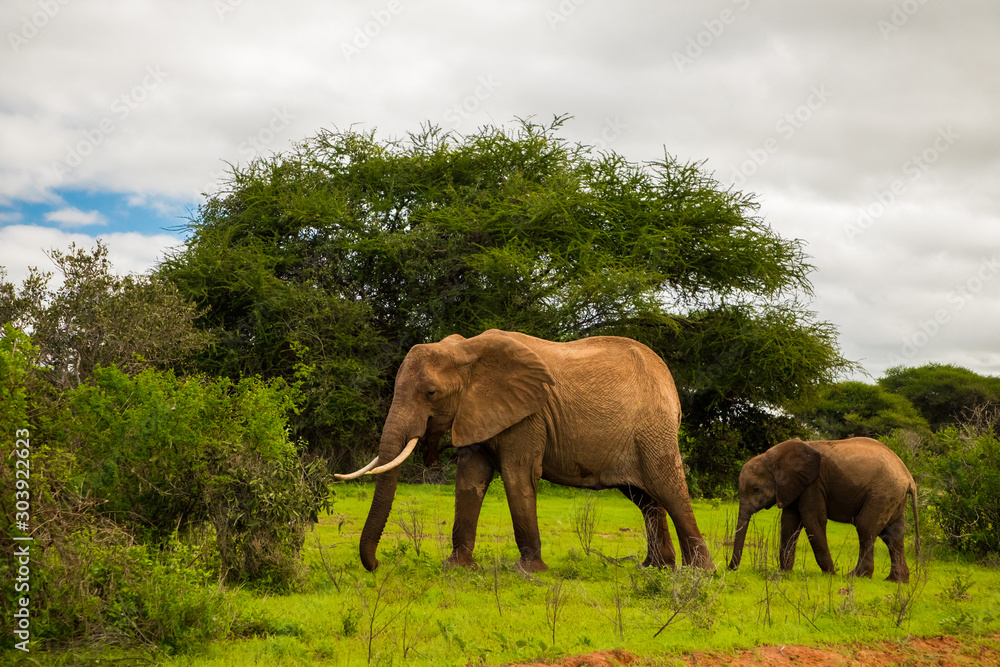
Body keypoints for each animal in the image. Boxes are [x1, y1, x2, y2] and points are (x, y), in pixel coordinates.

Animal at [336, 329, 714, 573]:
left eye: (431, 393)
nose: (376, 565)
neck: (466, 351)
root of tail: (670, 382)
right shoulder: (477, 411)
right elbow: (470, 480)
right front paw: (457, 567)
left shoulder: (528, 416)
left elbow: (518, 476)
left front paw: (530, 571)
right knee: (645, 498)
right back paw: (655, 568)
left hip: (654, 430)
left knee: (669, 489)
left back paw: (700, 573)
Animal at [728, 437, 920, 583]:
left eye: (755, 489)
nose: (730, 569)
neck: (774, 456)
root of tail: (909, 477)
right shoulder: (793, 486)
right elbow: (789, 522)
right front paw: (784, 573)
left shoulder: (812, 485)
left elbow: (813, 520)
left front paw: (831, 574)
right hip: (893, 495)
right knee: (893, 535)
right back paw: (896, 580)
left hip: (882, 493)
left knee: (865, 527)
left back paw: (854, 576)